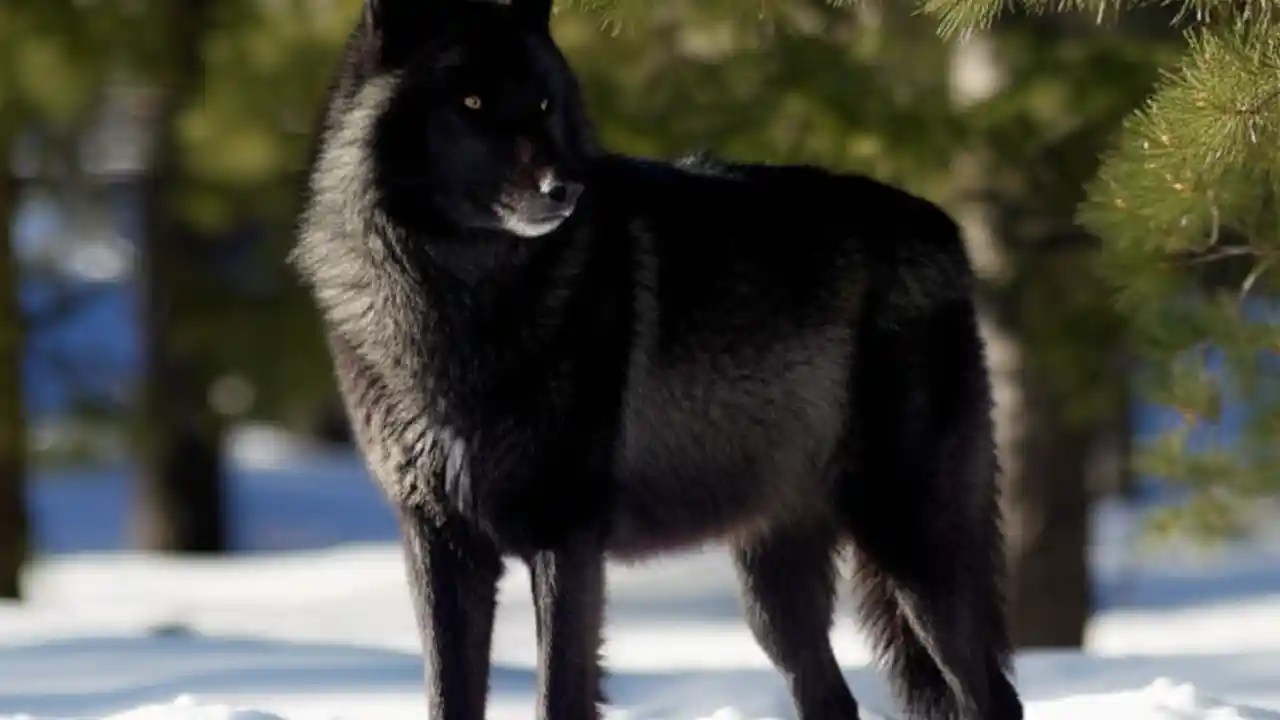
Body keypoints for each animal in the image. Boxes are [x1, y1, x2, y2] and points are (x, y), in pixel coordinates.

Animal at [292, 1, 1024, 718]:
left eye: (543, 103)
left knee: (993, 696)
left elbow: (560, 693)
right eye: (470, 100)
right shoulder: (440, 541)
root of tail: (946, 229)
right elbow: (447, 694)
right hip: (773, 592)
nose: (563, 190)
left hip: (914, 550)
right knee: (832, 699)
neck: (459, 296)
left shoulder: (566, 536)